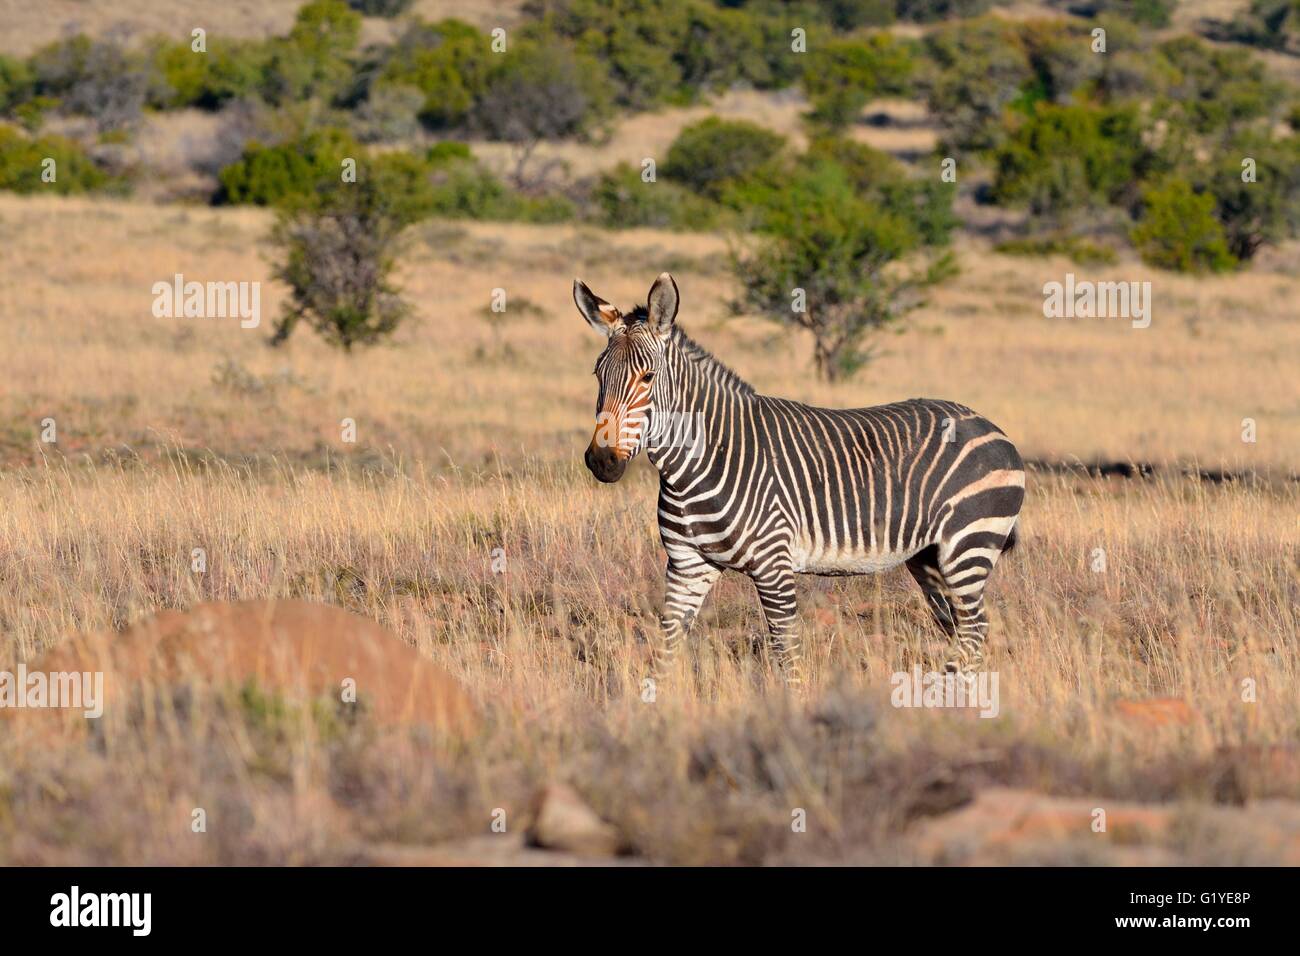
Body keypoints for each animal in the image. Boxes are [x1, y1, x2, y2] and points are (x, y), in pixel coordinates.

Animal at [576, 273, 1025, 687]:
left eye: (648, 378)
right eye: (598, 375)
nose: (602, 461)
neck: (697, 465)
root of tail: (990, 424)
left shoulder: (774, 565)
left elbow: (785, 655)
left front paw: (791, 707)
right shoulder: (687, 563)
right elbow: (666, 650)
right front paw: (657, 705)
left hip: (968, 543)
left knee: (975, 629)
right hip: (930, 557)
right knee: (960, 628)